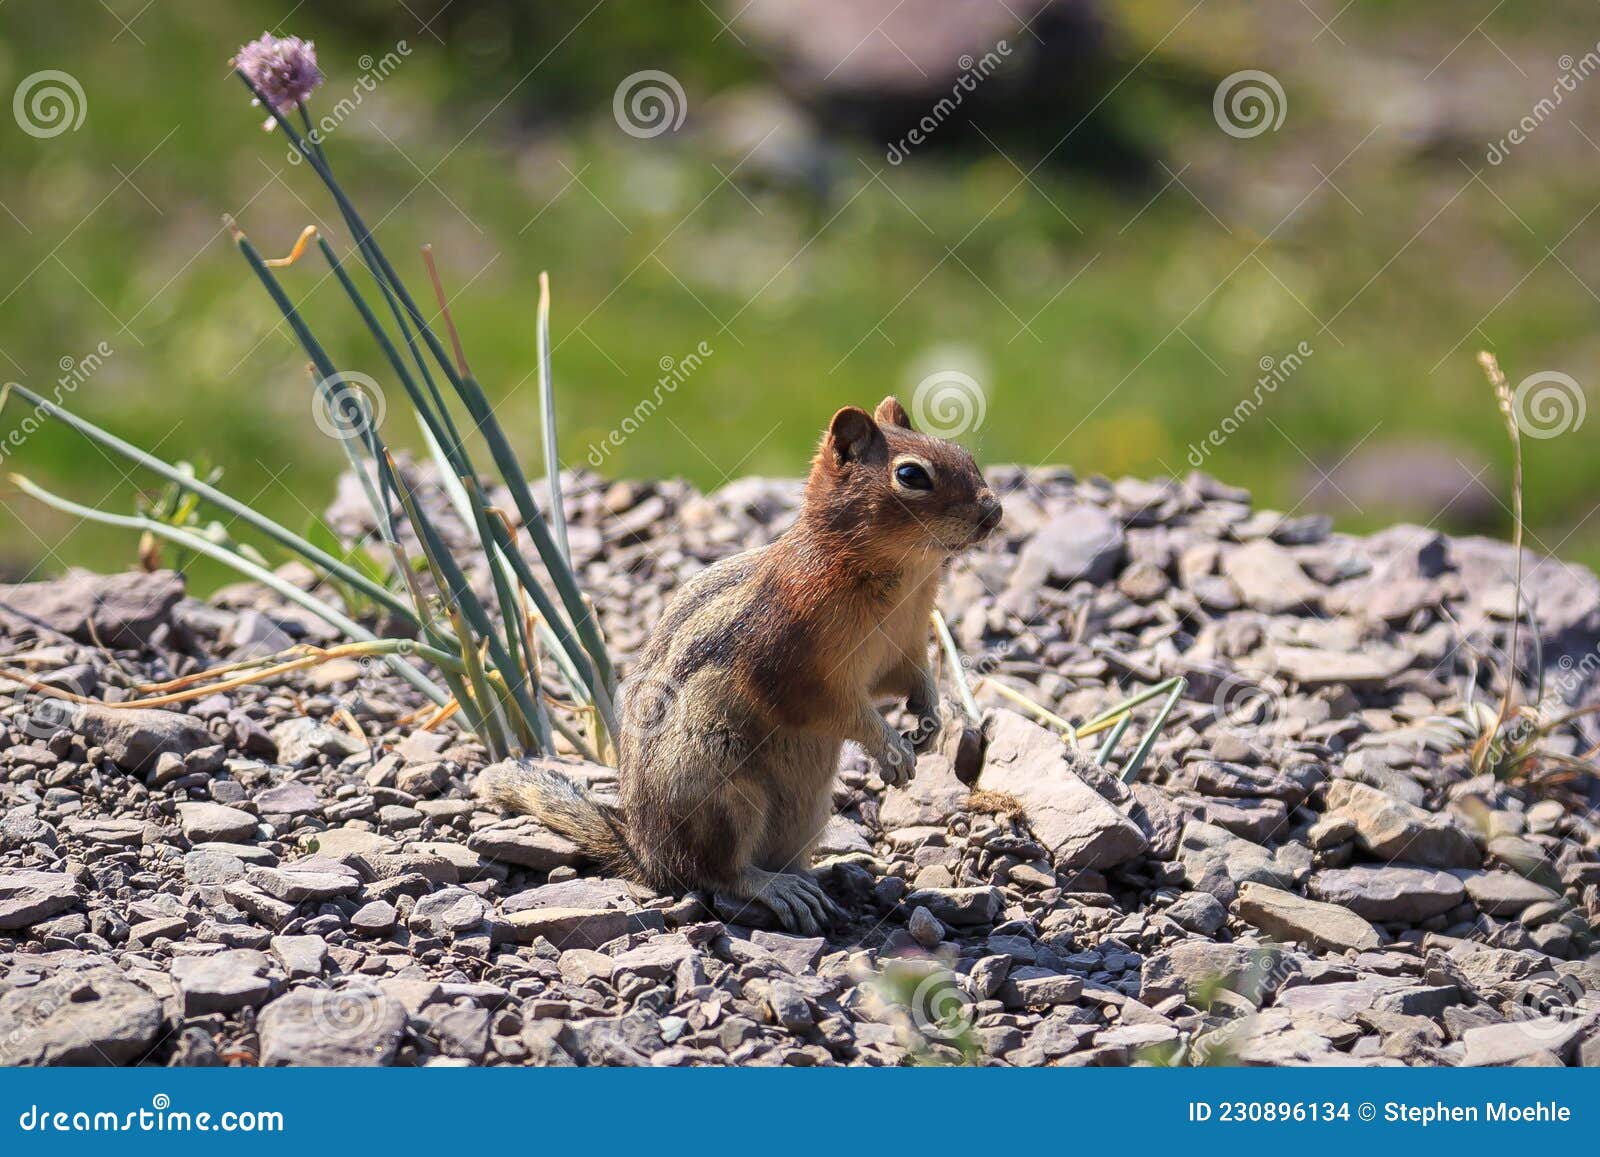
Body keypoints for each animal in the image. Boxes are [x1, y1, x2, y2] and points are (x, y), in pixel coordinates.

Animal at [476, 395, 1002, 933]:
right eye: (912, 475)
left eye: (964, 454)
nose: (994, 511)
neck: (903, 576)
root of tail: (646, 856)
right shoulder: (798, 665)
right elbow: (839, 709)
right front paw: (891, 747)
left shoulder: (904, 647)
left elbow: (911, 678)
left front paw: (931, 718)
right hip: (727, 797)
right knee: (716, 873)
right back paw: (777, 887)